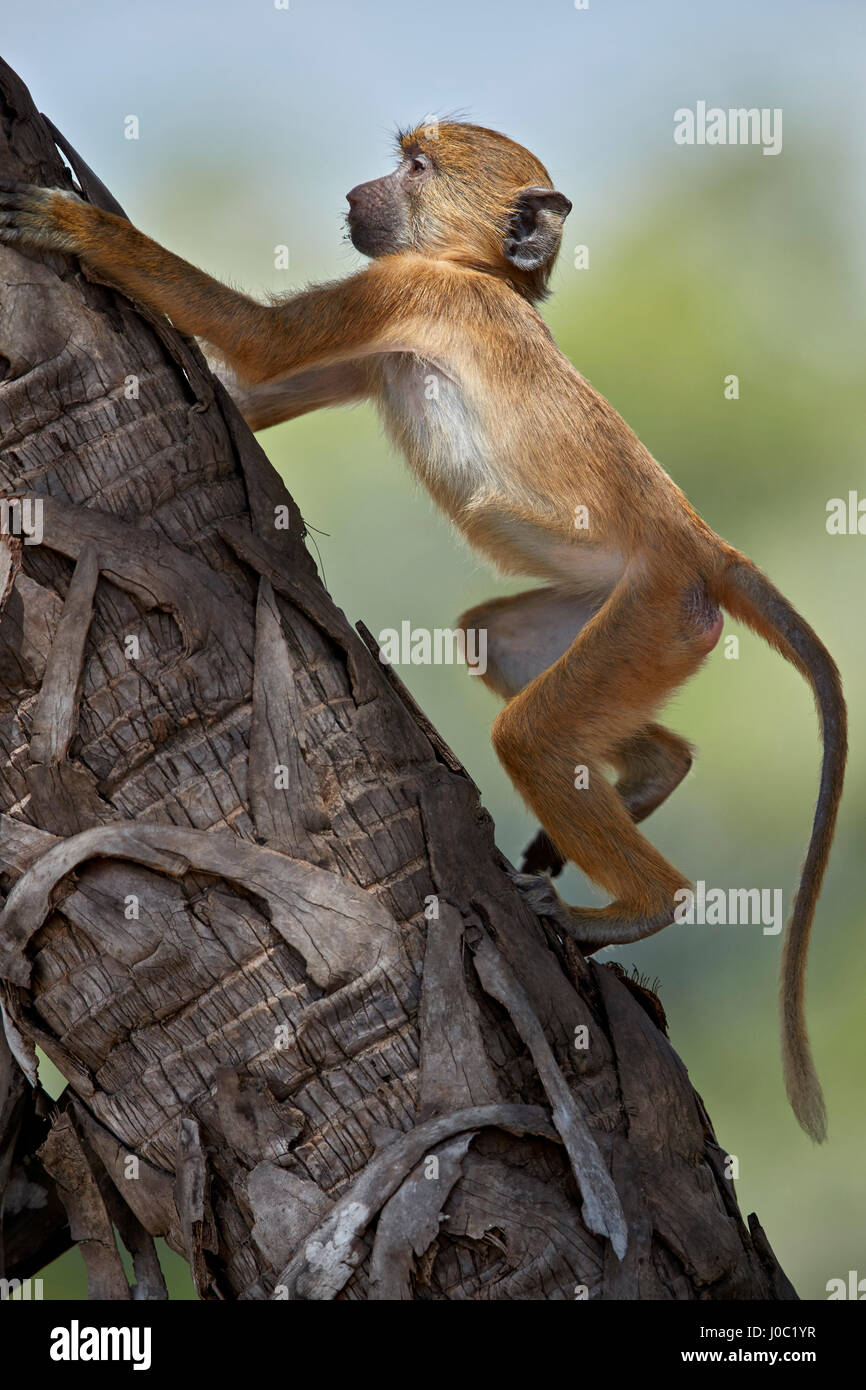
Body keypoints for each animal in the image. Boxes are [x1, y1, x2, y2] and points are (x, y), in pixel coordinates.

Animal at [0, 120, 846, 1142]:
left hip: (659, 610)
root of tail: (696, 539)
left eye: (415, 167)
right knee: (499, 645)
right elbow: (257, 389)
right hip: (629, 609)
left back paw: (643, 904)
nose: (355, 191)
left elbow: (262, 342)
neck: (481, 275)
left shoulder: (411, 288)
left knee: (534, 735)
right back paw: (654, 773)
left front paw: (79, 228)